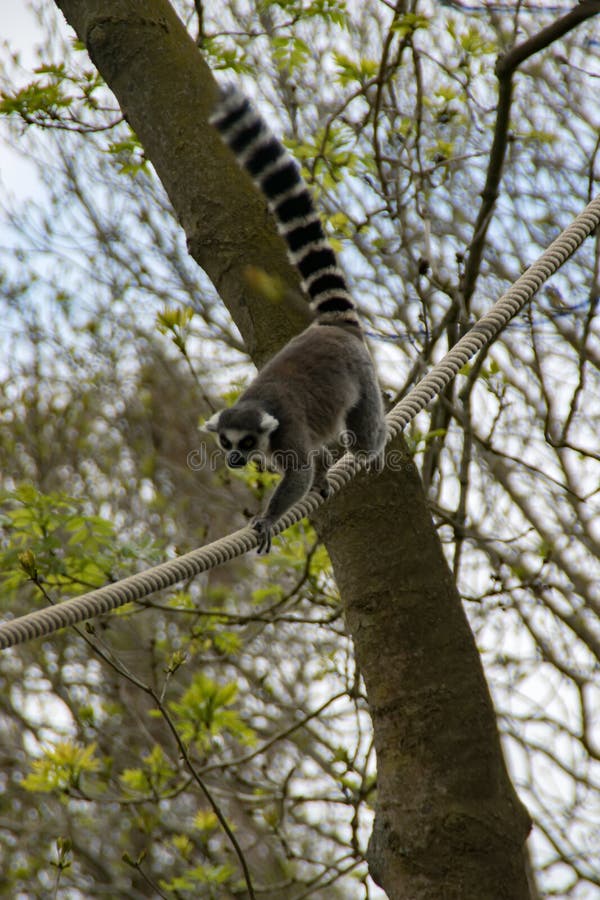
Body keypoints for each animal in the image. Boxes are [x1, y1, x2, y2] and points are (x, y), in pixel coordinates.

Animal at [204, 86, 387, 553]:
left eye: (246, 441)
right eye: (226, 441)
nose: (236, 458)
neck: (261, 408)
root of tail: (331, 326)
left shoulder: (287, 433)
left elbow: (298, 472)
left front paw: (267, 519)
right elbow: (310, 466)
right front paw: (317, 480)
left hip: (362, 374)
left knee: (363, 432)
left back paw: (372, 449)